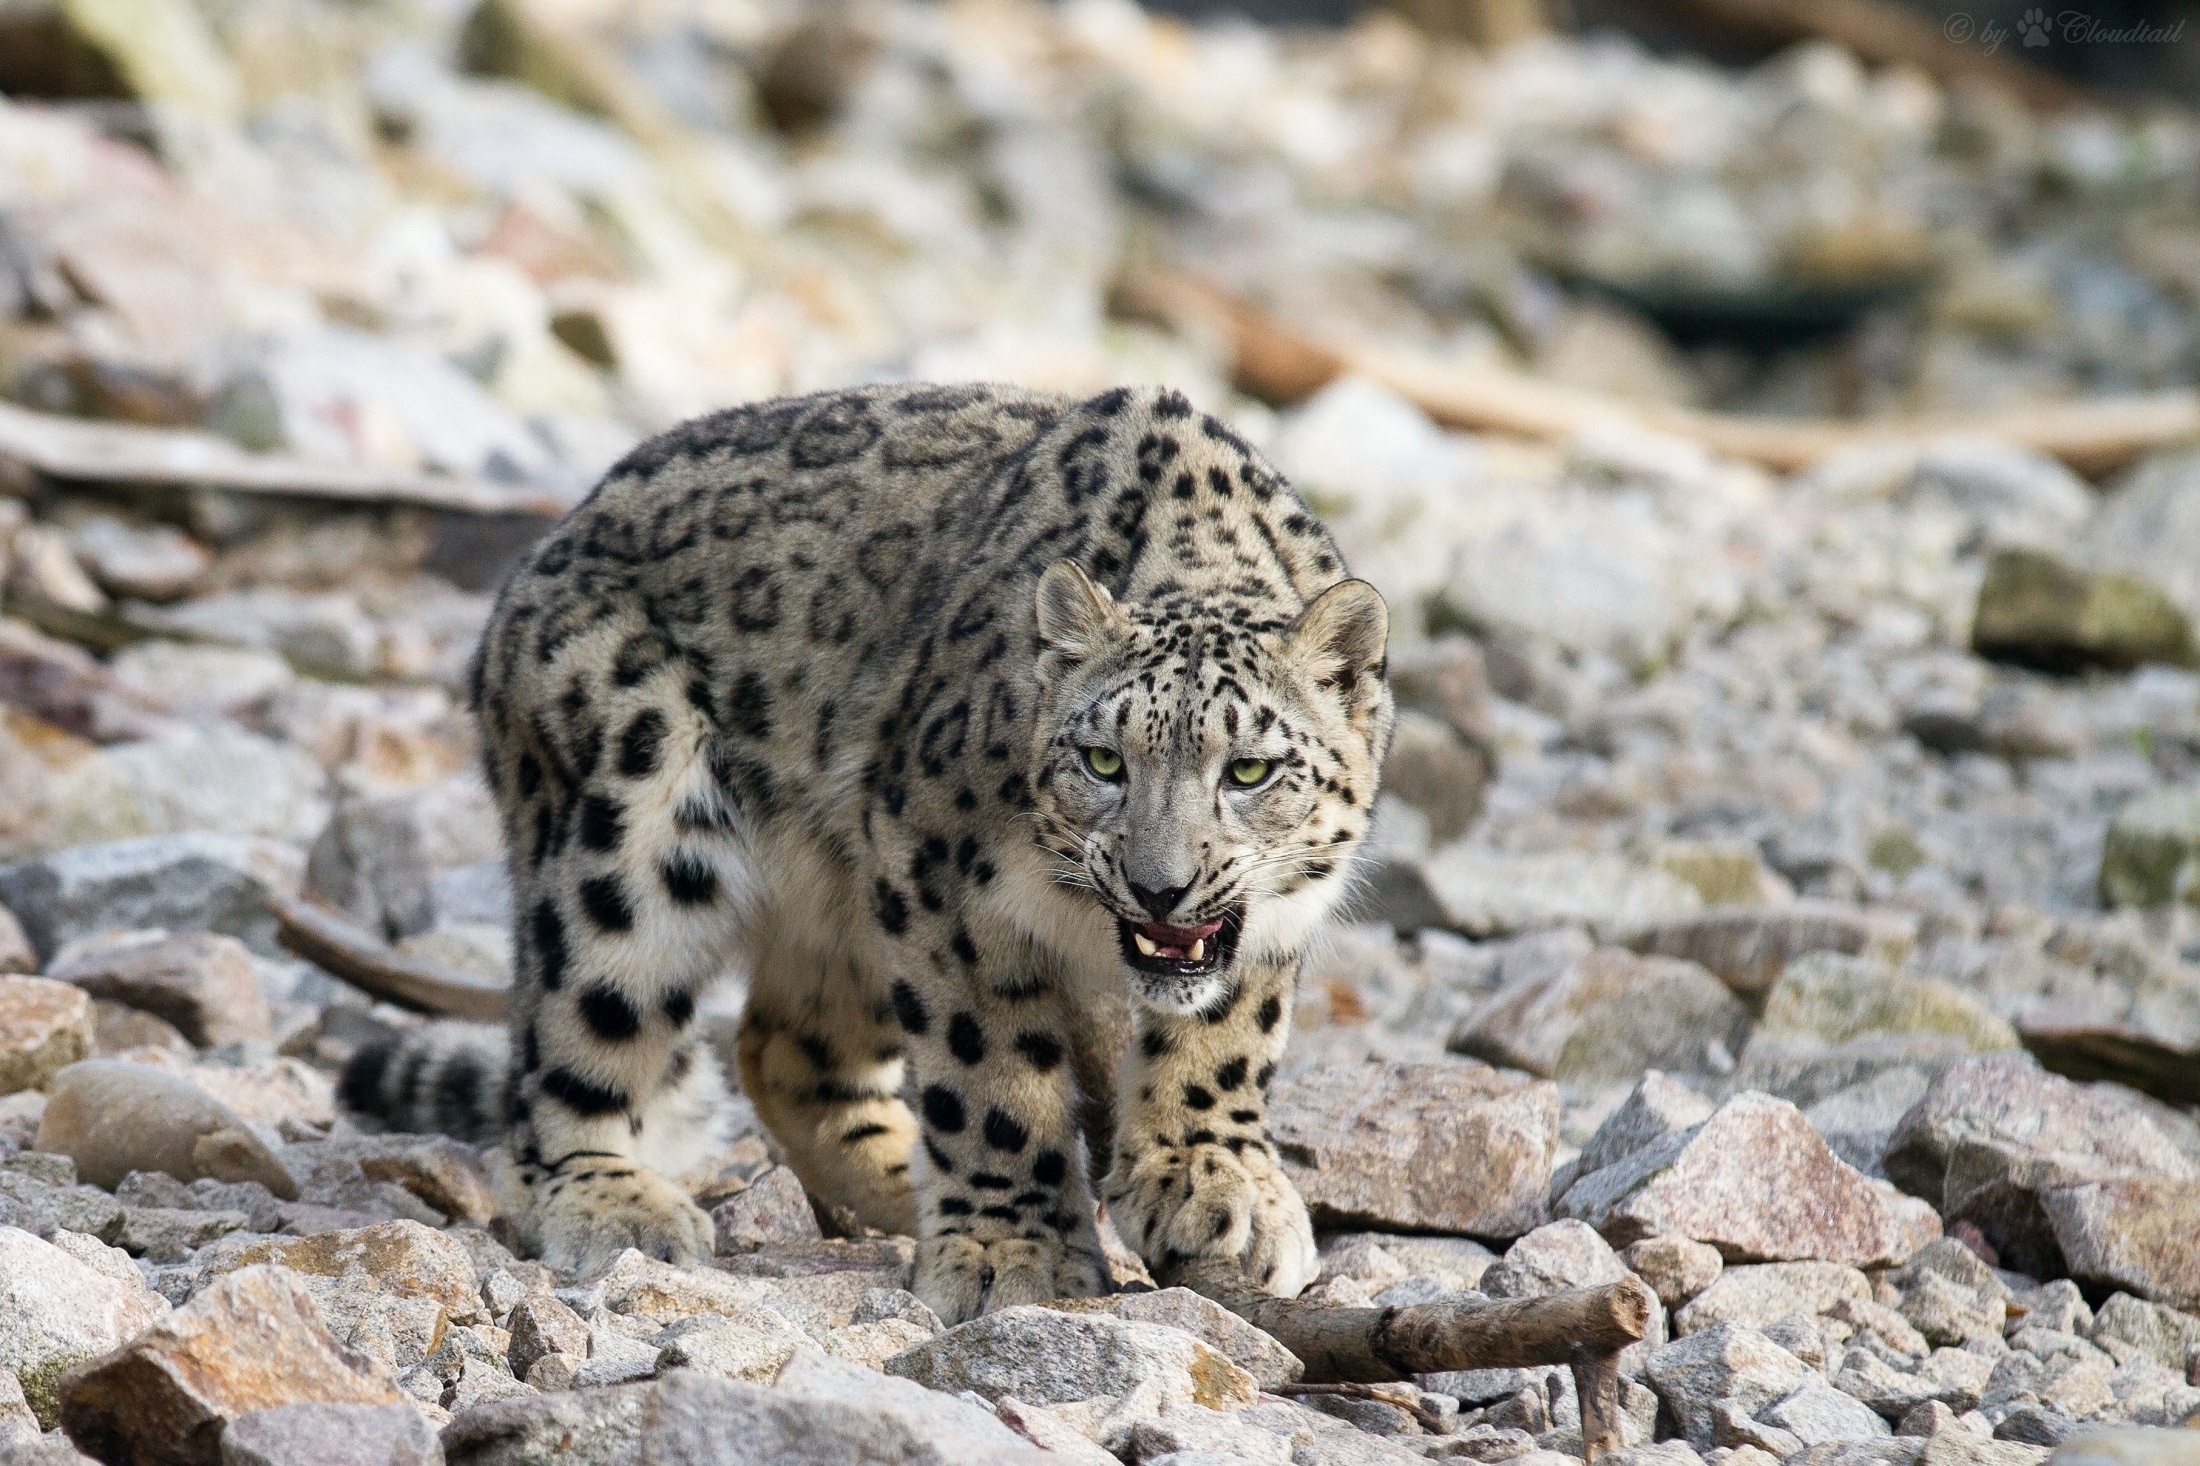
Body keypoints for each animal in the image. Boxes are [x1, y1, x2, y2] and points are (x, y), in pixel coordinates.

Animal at [340, 381, 1394, 1322]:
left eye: (1249, 771)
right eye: (1103, 760)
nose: (1159, 885)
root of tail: (531, 567)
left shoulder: (1270, 921)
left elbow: (1228, 1038)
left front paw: (1216, 1186)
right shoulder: (946, 881)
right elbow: (991, 1072)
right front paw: (1014, 1251)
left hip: (845, 906)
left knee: (784, 1049)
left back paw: (902, 1186)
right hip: (627, 826)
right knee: (570, 1041)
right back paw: (618, 1201)